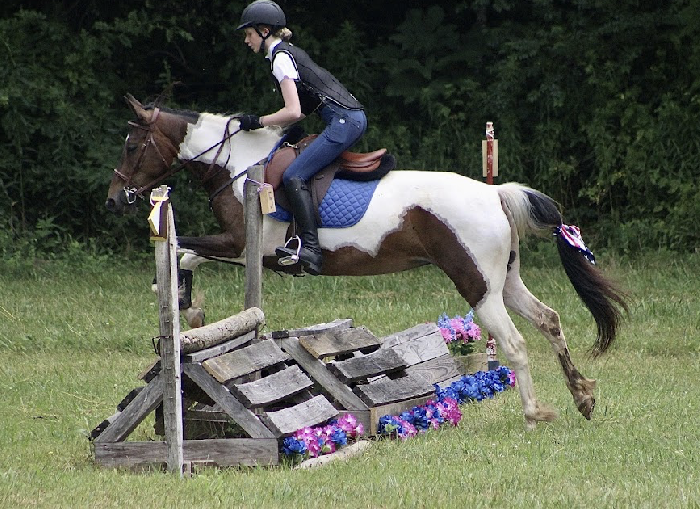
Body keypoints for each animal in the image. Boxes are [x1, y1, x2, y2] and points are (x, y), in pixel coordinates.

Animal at [106, 94, 628, 430]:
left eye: (131, 146)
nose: (114, 199)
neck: (237, 165)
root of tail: (494, 192)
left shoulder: (242, 244)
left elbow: (185, 250)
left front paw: (181, 301)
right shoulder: (239, 247)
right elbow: (187, 253)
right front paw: (185, 302)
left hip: (477, 285)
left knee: (516, 343)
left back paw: (534, 414)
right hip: (506, 281)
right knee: (549, 320)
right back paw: (583, 395)